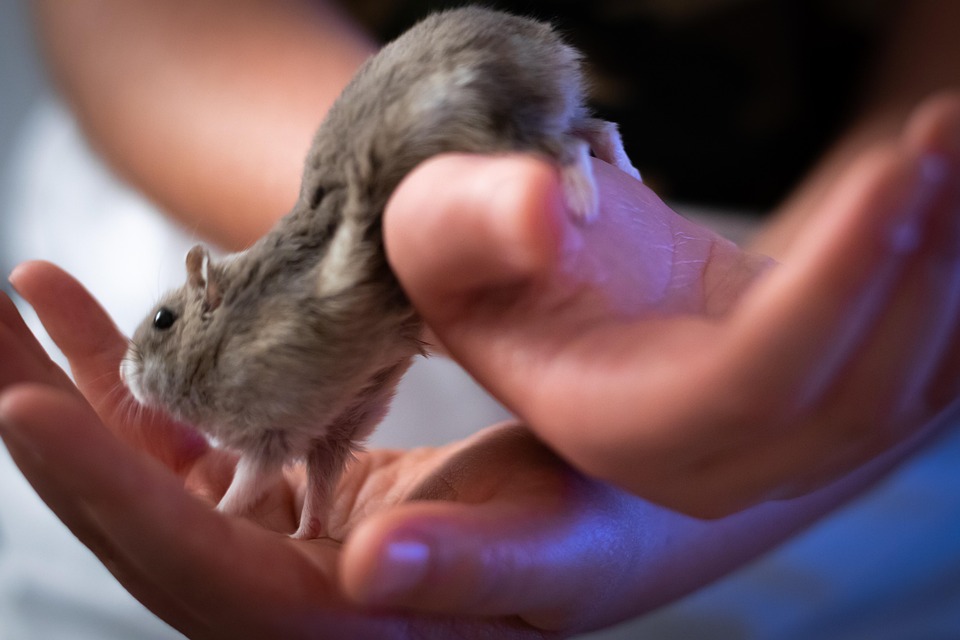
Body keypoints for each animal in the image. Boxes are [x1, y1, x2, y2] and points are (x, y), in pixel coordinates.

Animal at [120, 6, 641, 539]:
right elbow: (317, 491)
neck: (230, 334)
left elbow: (243, 491)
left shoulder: (274, 436)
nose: (125, 374)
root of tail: (546, 41)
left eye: (163, 319)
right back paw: (627, 176)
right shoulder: (327, 432)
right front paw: (304, 535)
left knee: (573, 146)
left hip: (492, 126)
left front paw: (214, 514)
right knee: (599, 126)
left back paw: (585, 199)